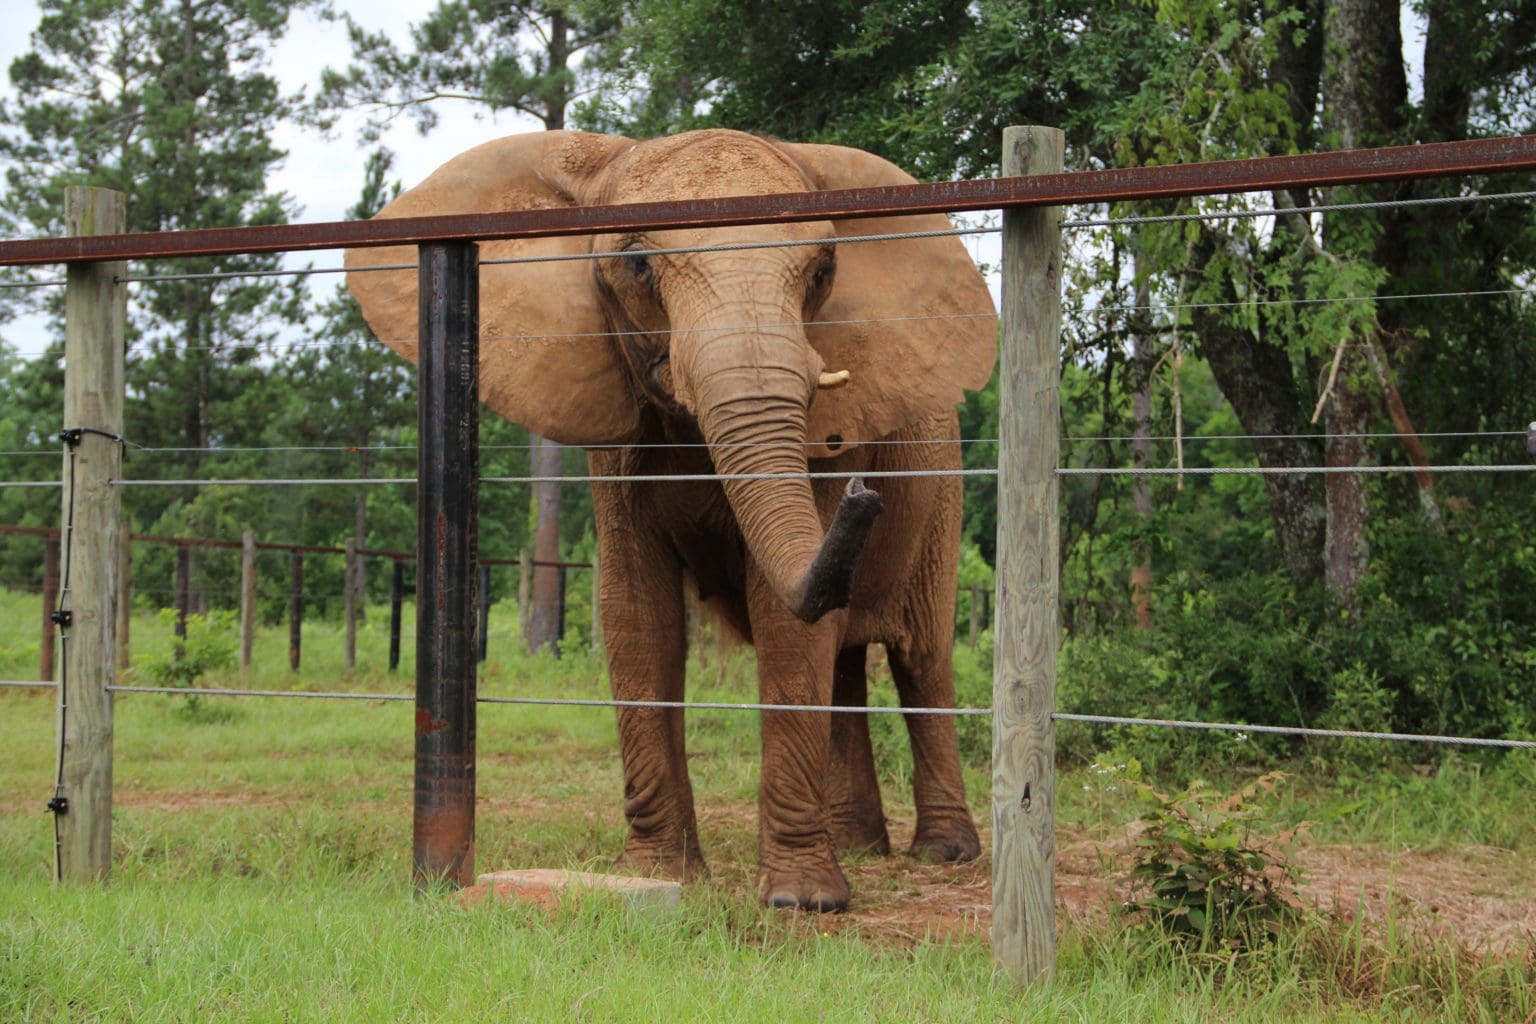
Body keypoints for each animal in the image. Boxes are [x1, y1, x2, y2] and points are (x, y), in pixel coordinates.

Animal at [346, 129, 996, 911]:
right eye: (636, 264)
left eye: (824, 269)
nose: (863, 494)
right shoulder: (616, 434)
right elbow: (638, 613)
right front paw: (661, 876)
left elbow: (784, 627)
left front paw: (801, 902)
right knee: (842, 655)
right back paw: (862, 843)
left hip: (943, 485)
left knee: (920, 656)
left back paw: (944, 855)